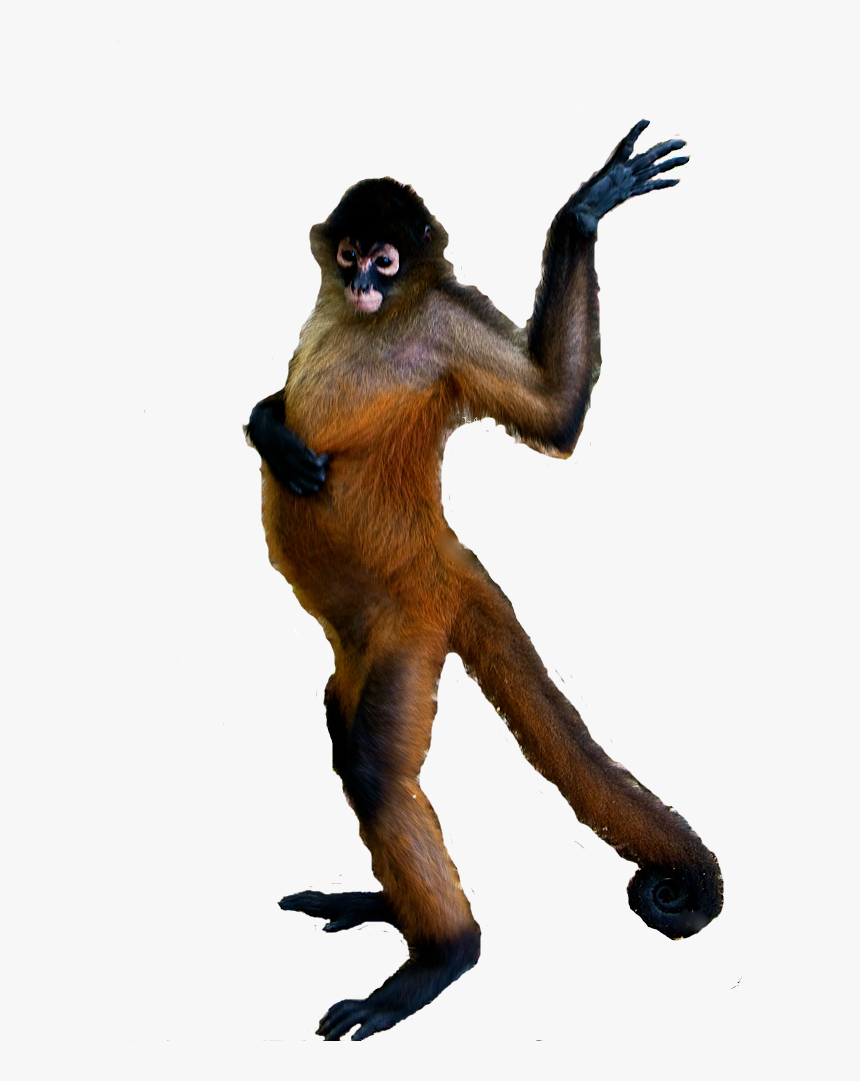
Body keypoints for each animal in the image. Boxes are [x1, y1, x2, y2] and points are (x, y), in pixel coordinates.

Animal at [245, 121, 723, 1041]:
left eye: (387, 260)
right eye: (350, 252)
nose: (359, 282)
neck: (377, 321)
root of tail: (444, 555)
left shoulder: (445, 319)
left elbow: (555, 415)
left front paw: (586, 208)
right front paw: (268, 426)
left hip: (409, 625)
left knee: (371, 768)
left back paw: (440, 956)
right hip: (361, 649)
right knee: (340, 727)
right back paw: (394, 912)